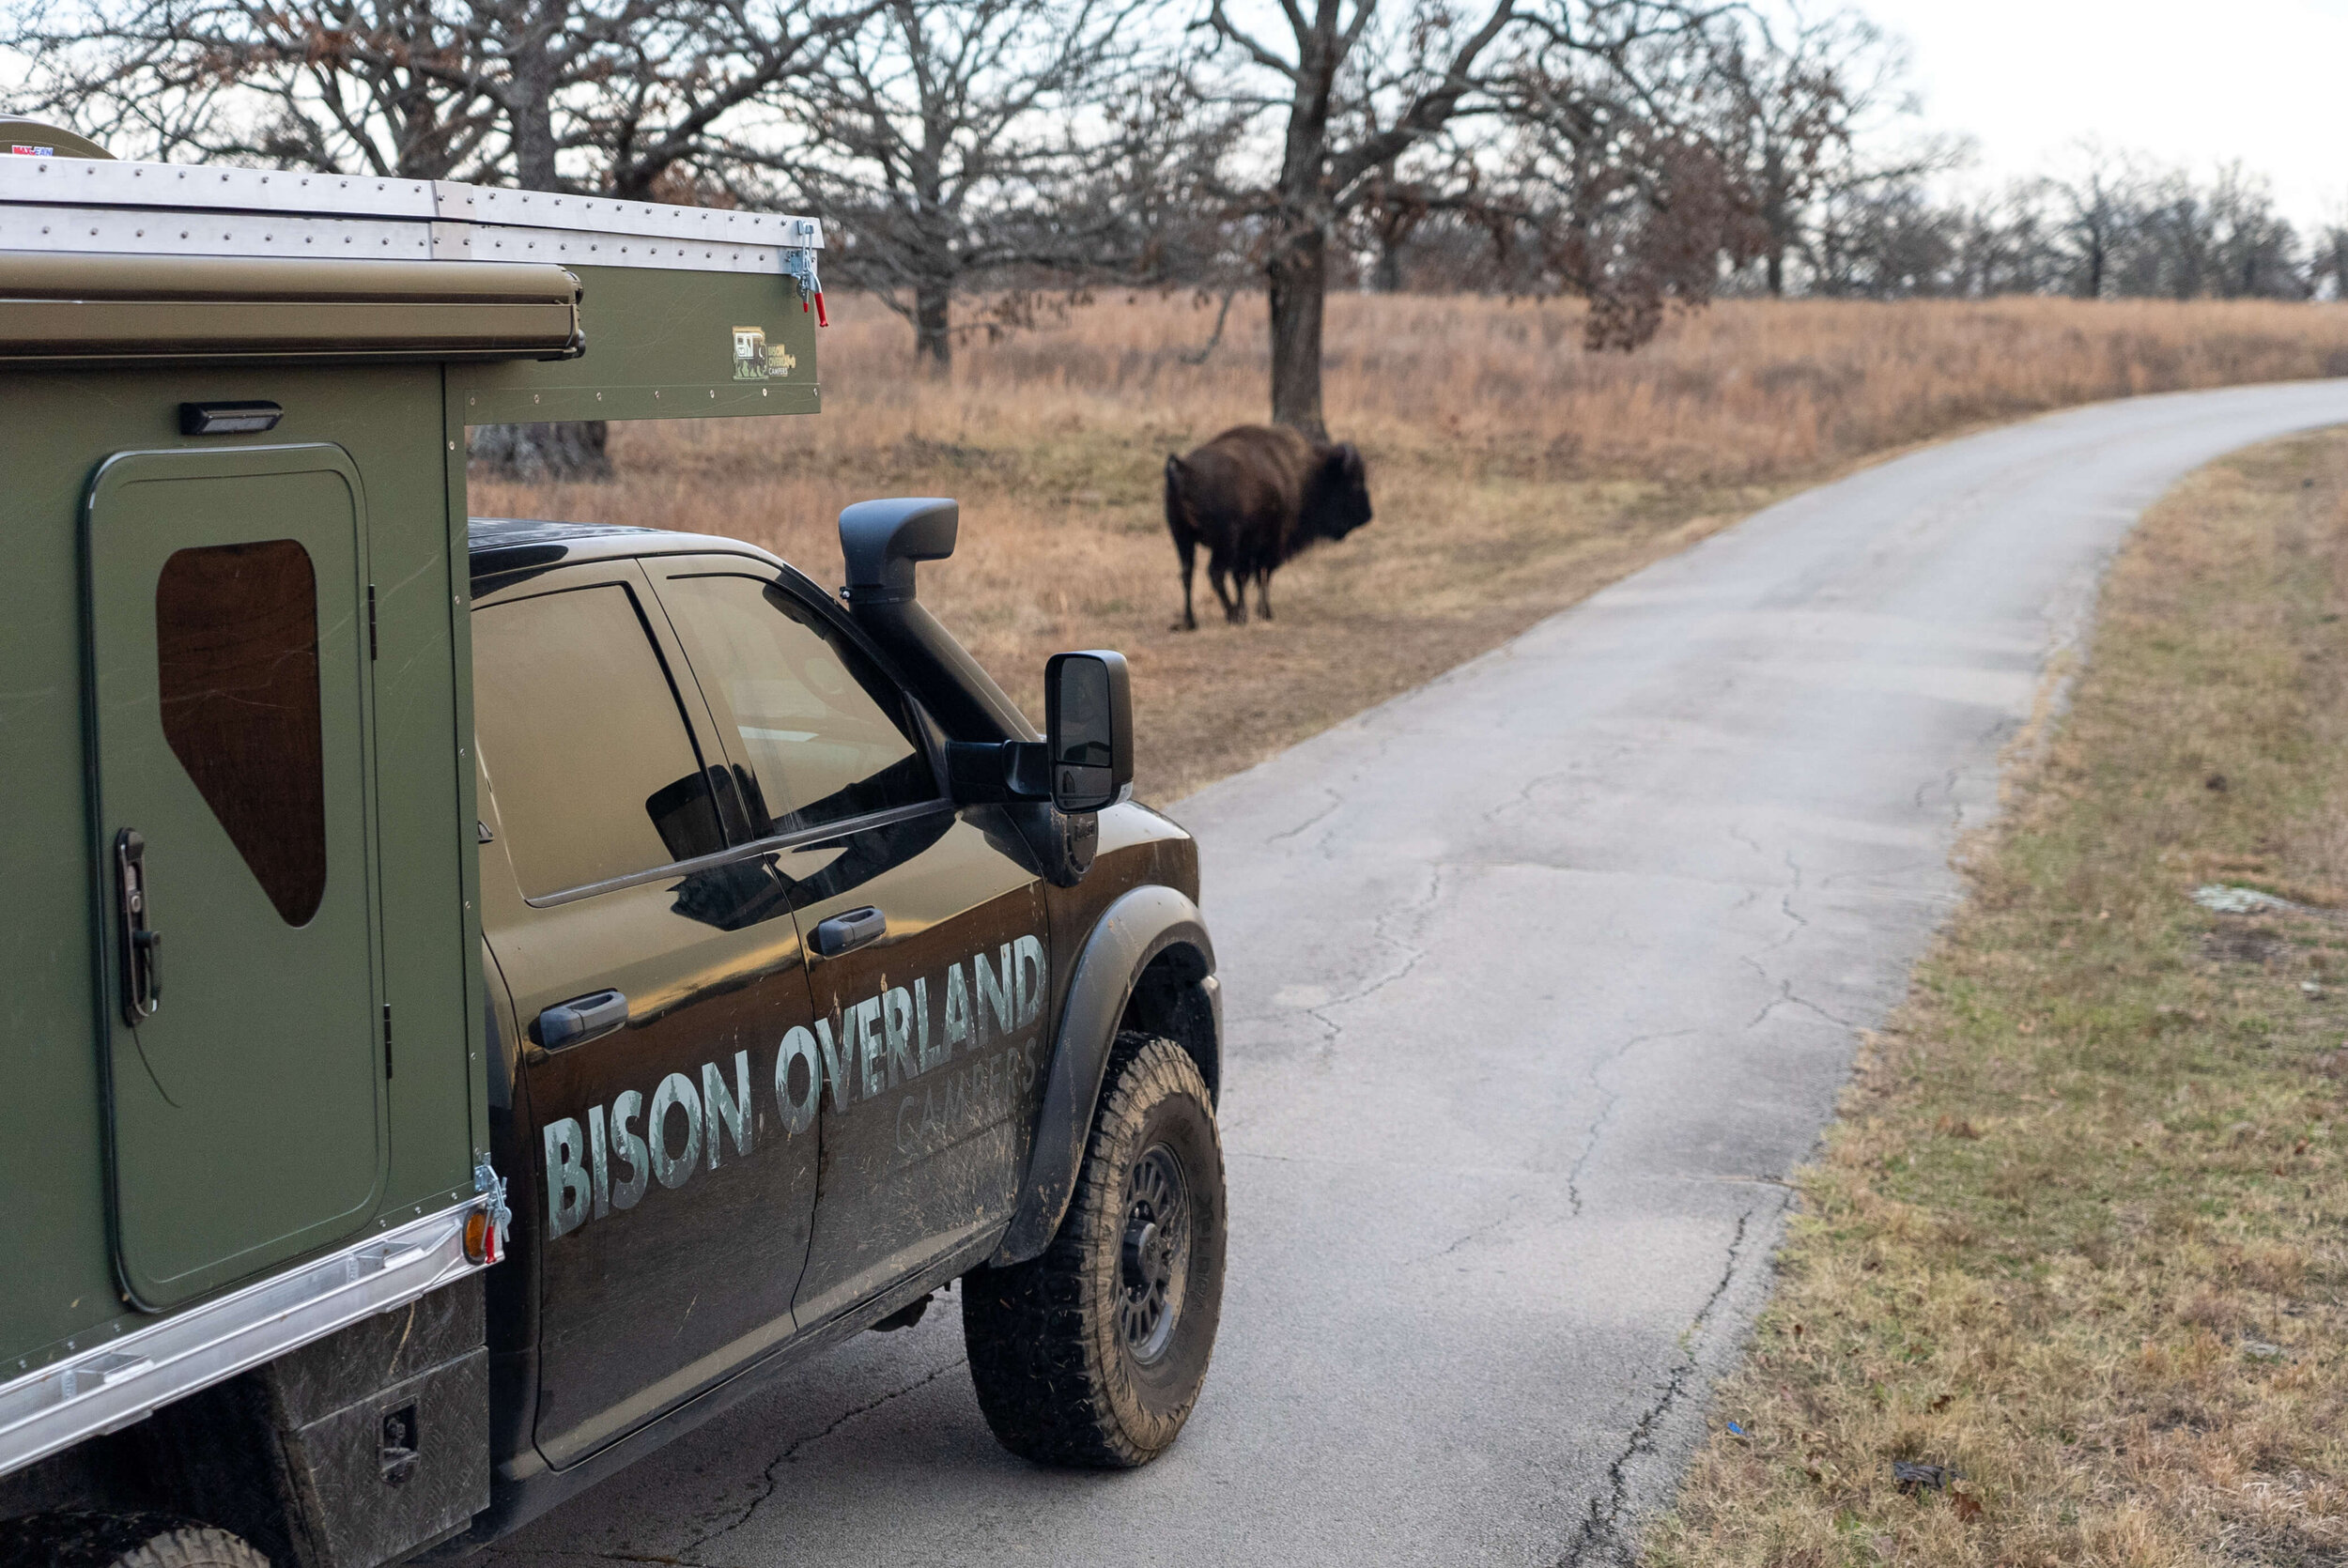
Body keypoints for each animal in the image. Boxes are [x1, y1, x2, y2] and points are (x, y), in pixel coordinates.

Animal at [1164, 424, 1373, 629]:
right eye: (1354, 482)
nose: (1367, 516)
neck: (1306, 471)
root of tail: (1185, 468)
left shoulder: (1247, 548)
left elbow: (1242, 577)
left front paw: (1247, 611)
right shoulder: (1271, 541)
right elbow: (1261, 574)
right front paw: (1263, 612)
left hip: (1181, 536)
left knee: (1187, 573)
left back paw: (1191, 621)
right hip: (1224, 542)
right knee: (1215, 573)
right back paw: (1232, 616)